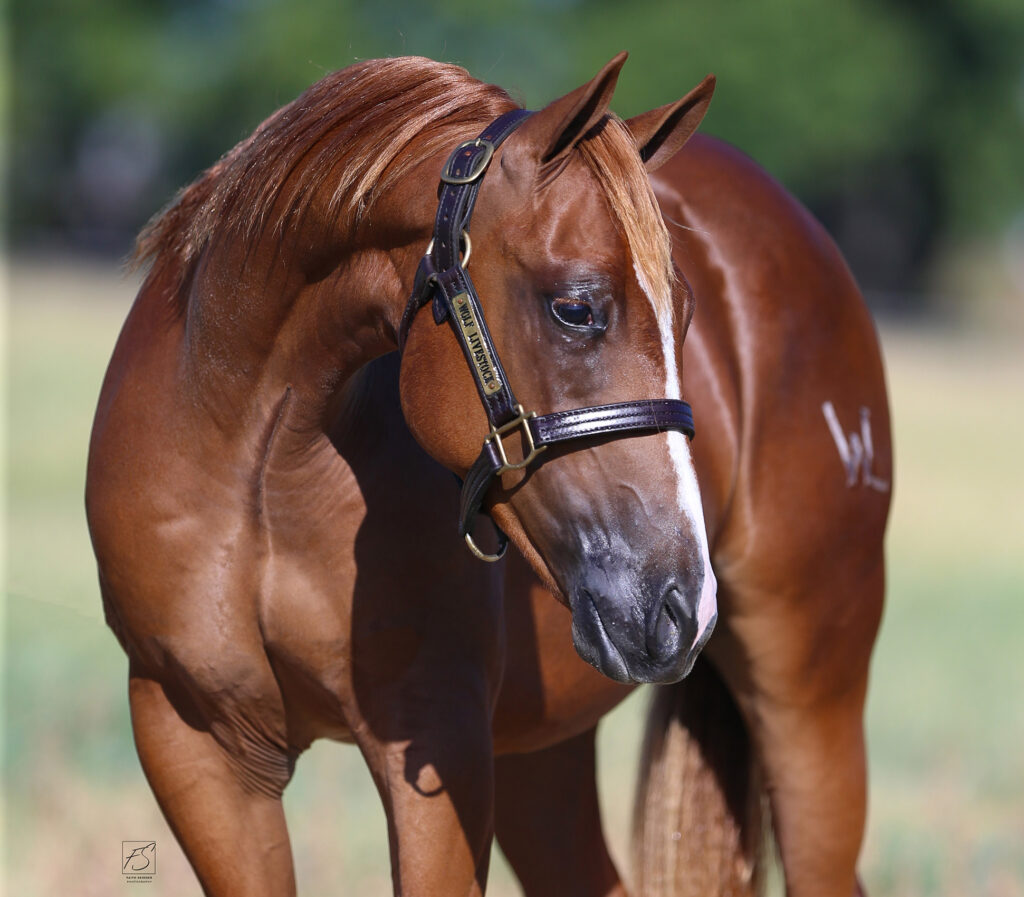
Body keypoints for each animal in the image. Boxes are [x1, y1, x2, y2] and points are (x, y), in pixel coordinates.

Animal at [86, 53, 891, 897]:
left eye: (687, 313)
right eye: (575, 309)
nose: (681, 604)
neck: (257, 462)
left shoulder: (438, 744)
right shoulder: (197, 743)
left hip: (811, 699)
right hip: (544, 748)